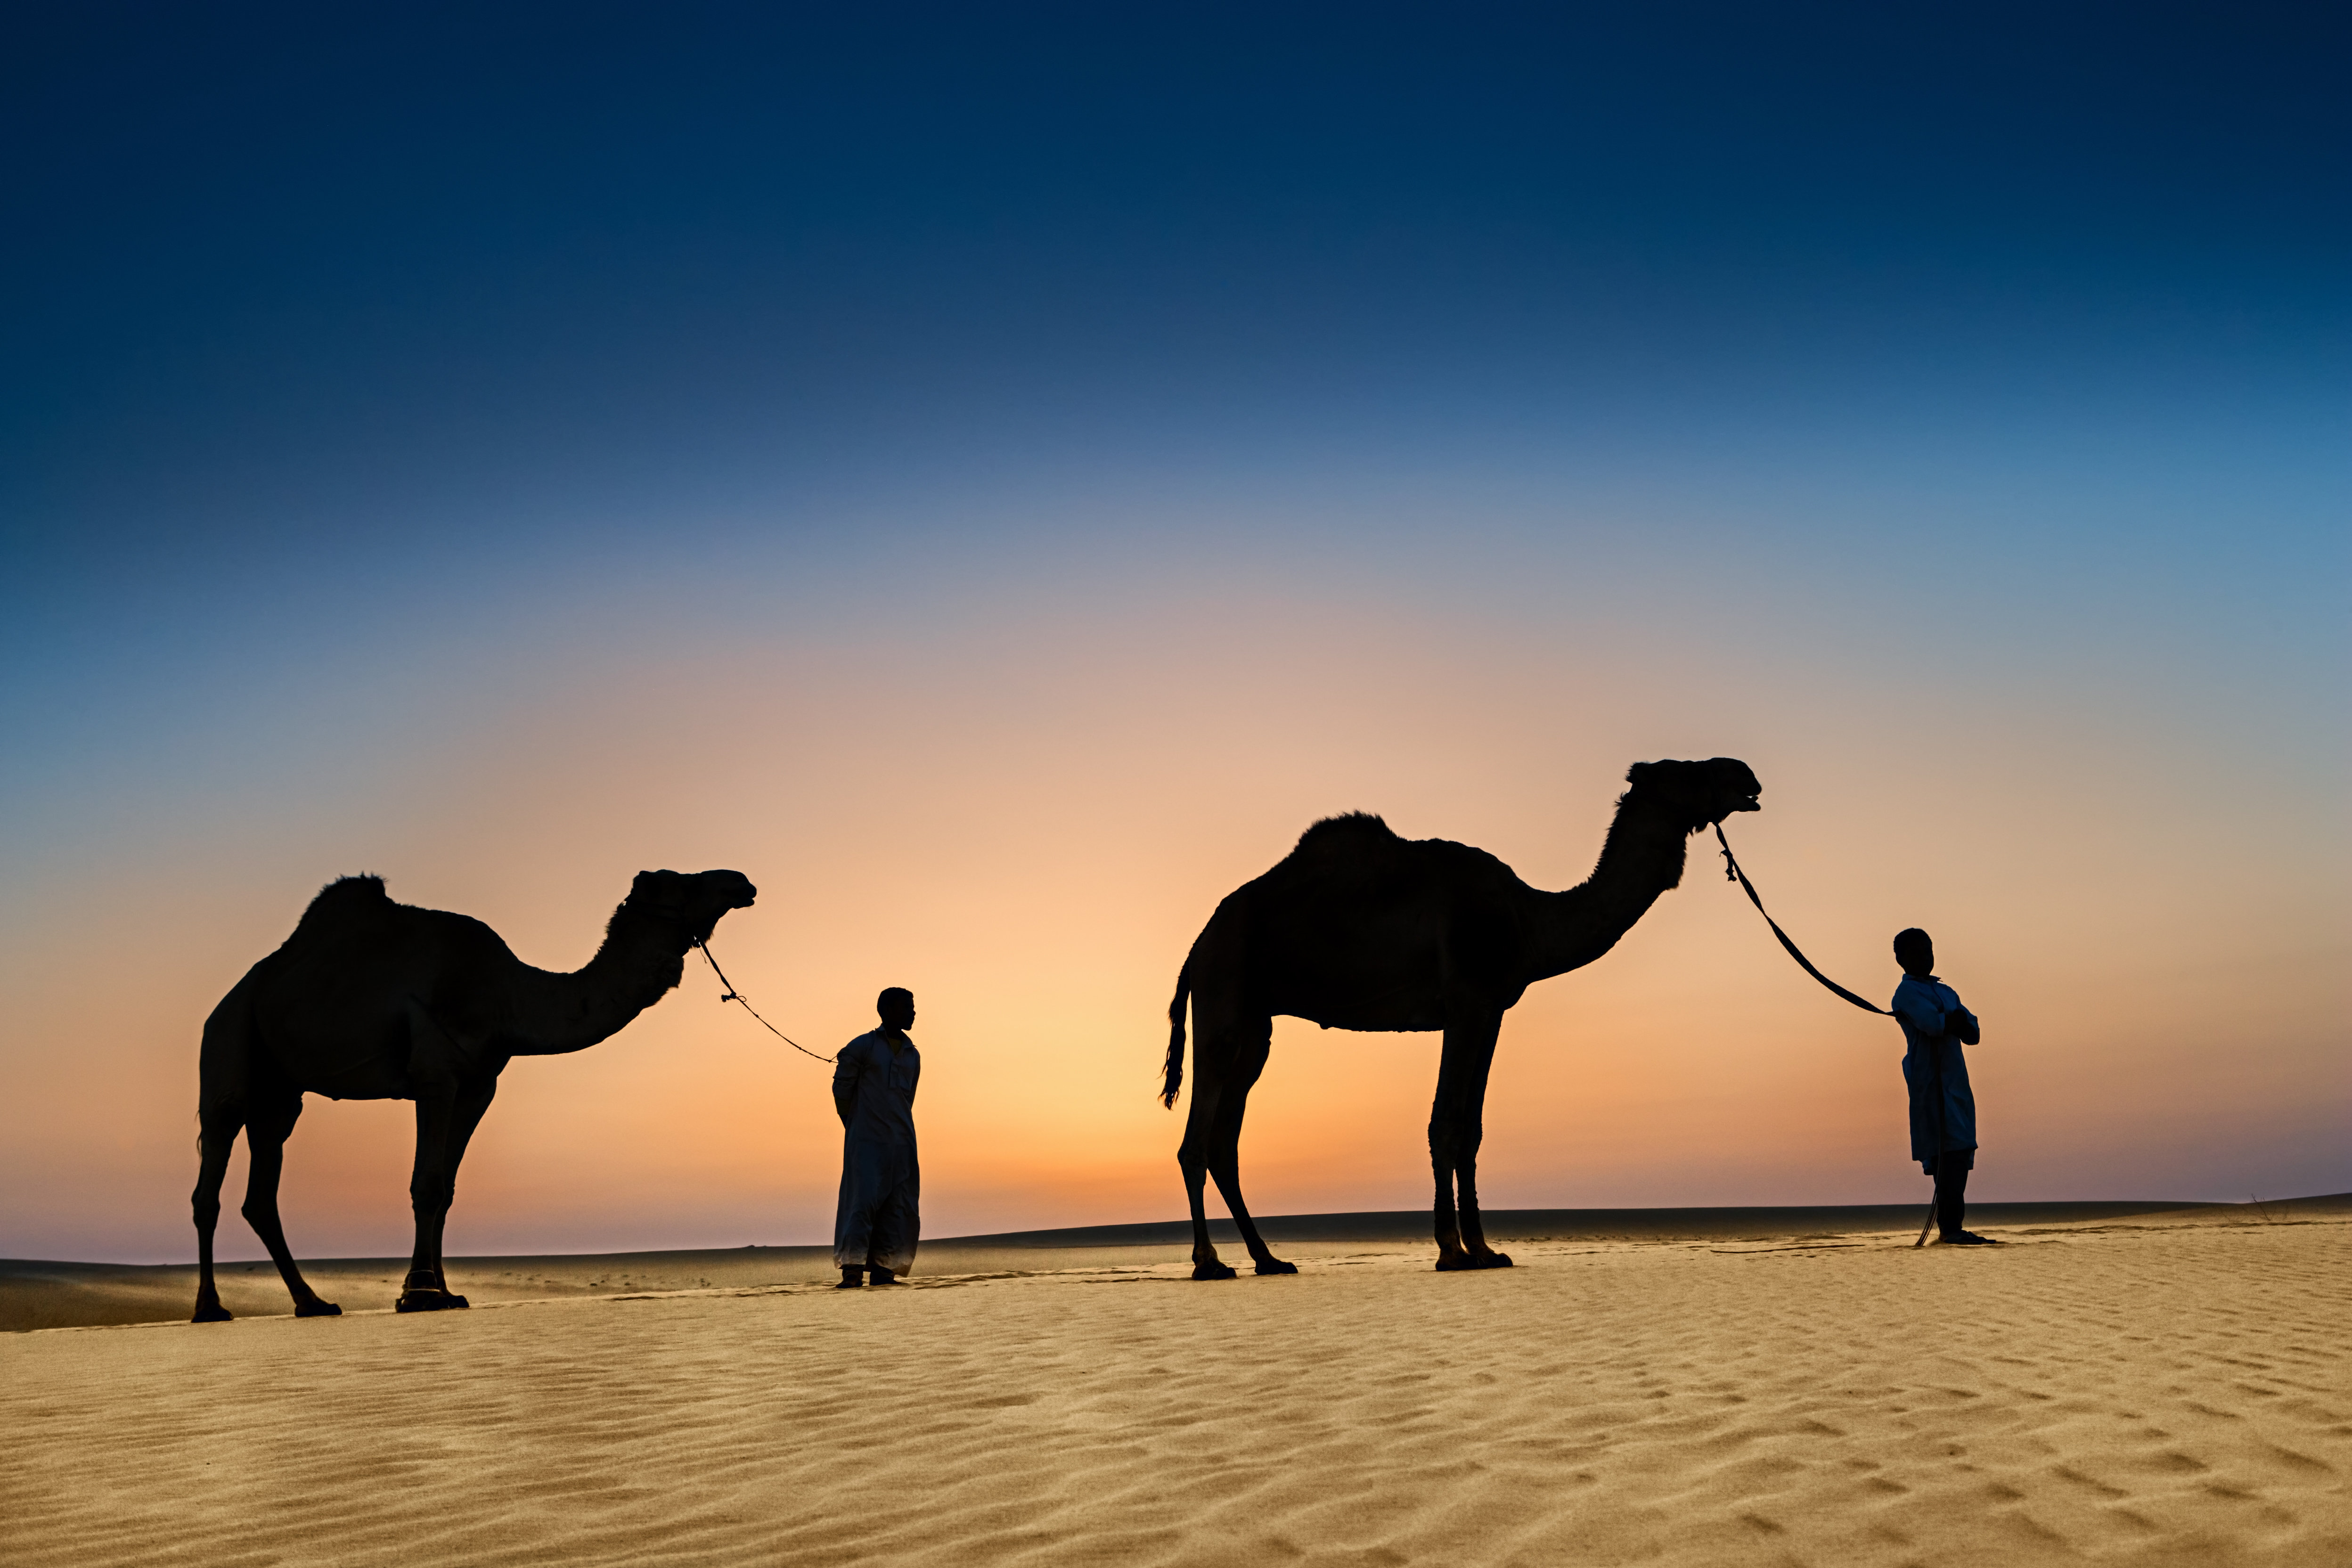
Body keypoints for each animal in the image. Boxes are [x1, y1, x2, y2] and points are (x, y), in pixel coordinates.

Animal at [190, 867, 757, 1321]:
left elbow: (448, 1189)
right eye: (679, 882)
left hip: (280, 1091)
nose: (742, 882)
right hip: (228, 1038)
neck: (507, 994)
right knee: (213, 1164)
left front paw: (445, 1292)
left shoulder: (480, 1084)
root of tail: (230, 996)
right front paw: (418, 1294)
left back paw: (312, 1303)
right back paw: (210, 1308)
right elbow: (426, 1183)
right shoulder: (435, 1072)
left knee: (262, 1188)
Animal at [1162, 757, 1761, 1278]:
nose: (1745, 775)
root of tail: (1197, 947)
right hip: (1223, 995)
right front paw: (1451, 1249)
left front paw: (1486, 1248)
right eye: (1687, 771)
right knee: (1196, 1139)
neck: (1529, 917)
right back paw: (1209, 1262)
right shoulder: (1466, 1000)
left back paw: (1267, 1258)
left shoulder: (1491, 1009)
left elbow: (1471, 1127)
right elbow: (1444, 1120)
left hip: (1256, 1026)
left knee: (1224, 1143)